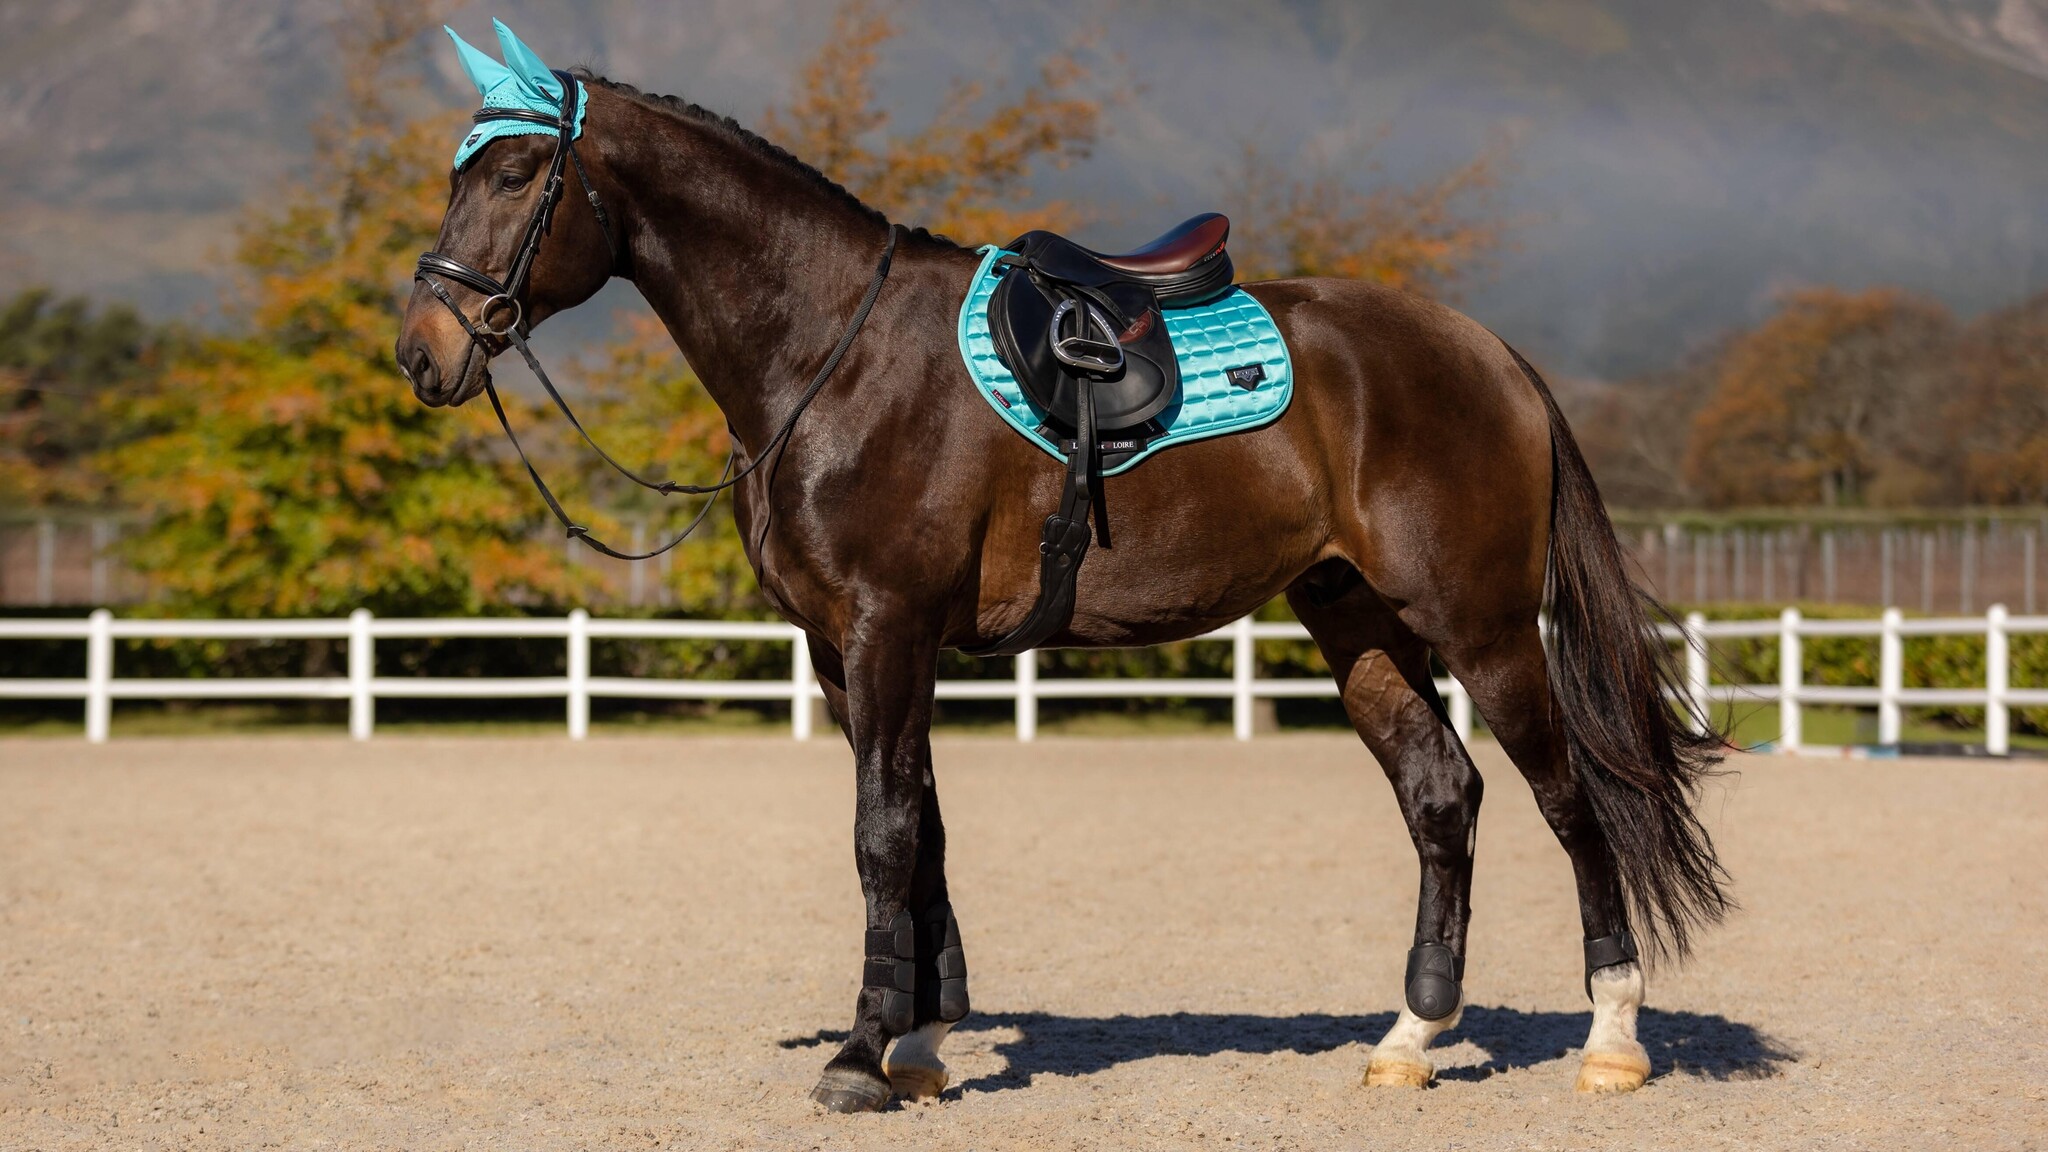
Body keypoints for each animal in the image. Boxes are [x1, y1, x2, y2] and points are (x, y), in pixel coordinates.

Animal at [395, 34, 1728, 1114]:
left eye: (513, 176)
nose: (424, 350)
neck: (832, 354)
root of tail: (1490, 352)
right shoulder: (847, 649)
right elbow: (921, 830)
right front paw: (917, 1046)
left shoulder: (886, 629)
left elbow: (881, 835)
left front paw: (859, 1060)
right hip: (1357, 624)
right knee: (1442, 798)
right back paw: (1408, 1039)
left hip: (1484, 627)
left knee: (1572, 801)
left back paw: (1611, 1040)